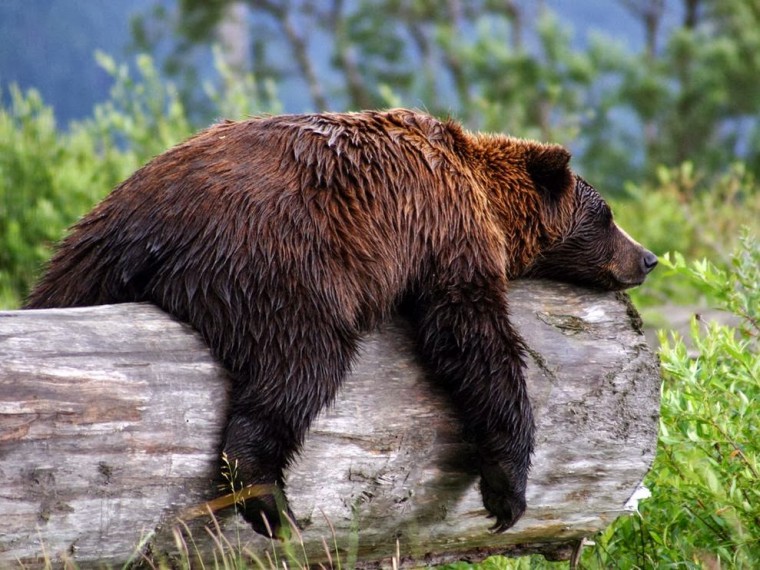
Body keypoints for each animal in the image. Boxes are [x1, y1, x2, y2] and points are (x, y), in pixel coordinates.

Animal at [25, 109, 657, 536]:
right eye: (607, 215)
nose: (648, 257)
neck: (482, 194)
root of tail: (145, 226)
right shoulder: (447, 231)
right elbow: (471, 338)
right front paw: (507, 491)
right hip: (276, 262)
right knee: (301, 363)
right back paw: (270, 502)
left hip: (82, 259)